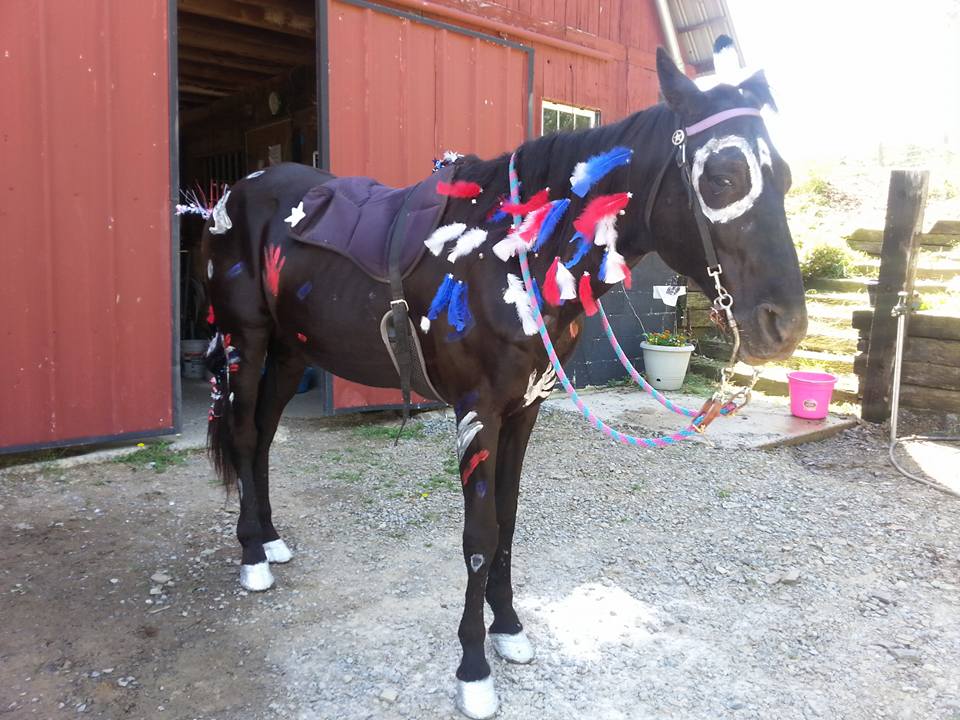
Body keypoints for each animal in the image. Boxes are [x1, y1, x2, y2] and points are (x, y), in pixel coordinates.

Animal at [201, 48, 807, 719]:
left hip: (288, 352)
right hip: (247, 345)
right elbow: (480, 534)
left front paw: (510, 628)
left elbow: (510, 521)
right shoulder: (479, 410)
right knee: (246, 436)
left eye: (782, 176)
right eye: (722, 177)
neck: (514, 252)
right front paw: (473, 668)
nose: (786, 325)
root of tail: (232, 197)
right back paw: (253, 558)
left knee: (263, 436)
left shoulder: (525, 408)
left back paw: (270, 541)